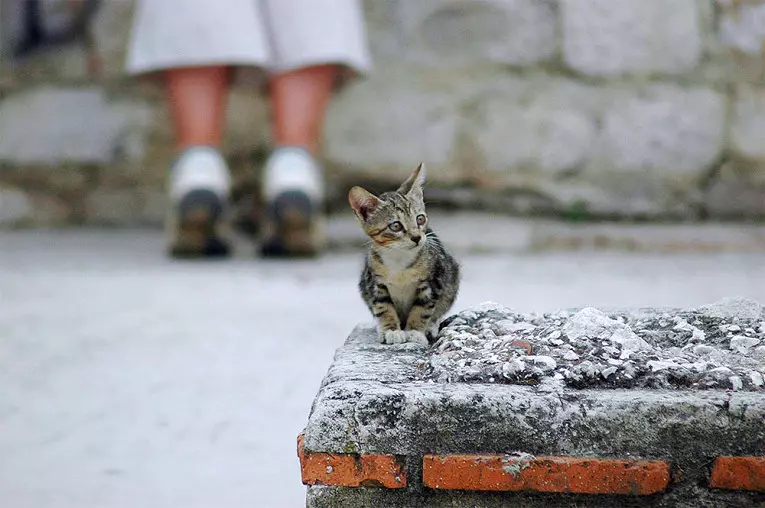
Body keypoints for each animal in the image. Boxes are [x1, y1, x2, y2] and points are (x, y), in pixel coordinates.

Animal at [348, 163, 460, 346]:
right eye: (395, 226)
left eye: (420, 219)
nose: (417, 237)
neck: (399, 259)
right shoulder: (375, 282)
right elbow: (383, 307)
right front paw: (391, 330)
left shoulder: (433, 281)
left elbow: (422, 308)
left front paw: (415, 331)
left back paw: (431, 326)